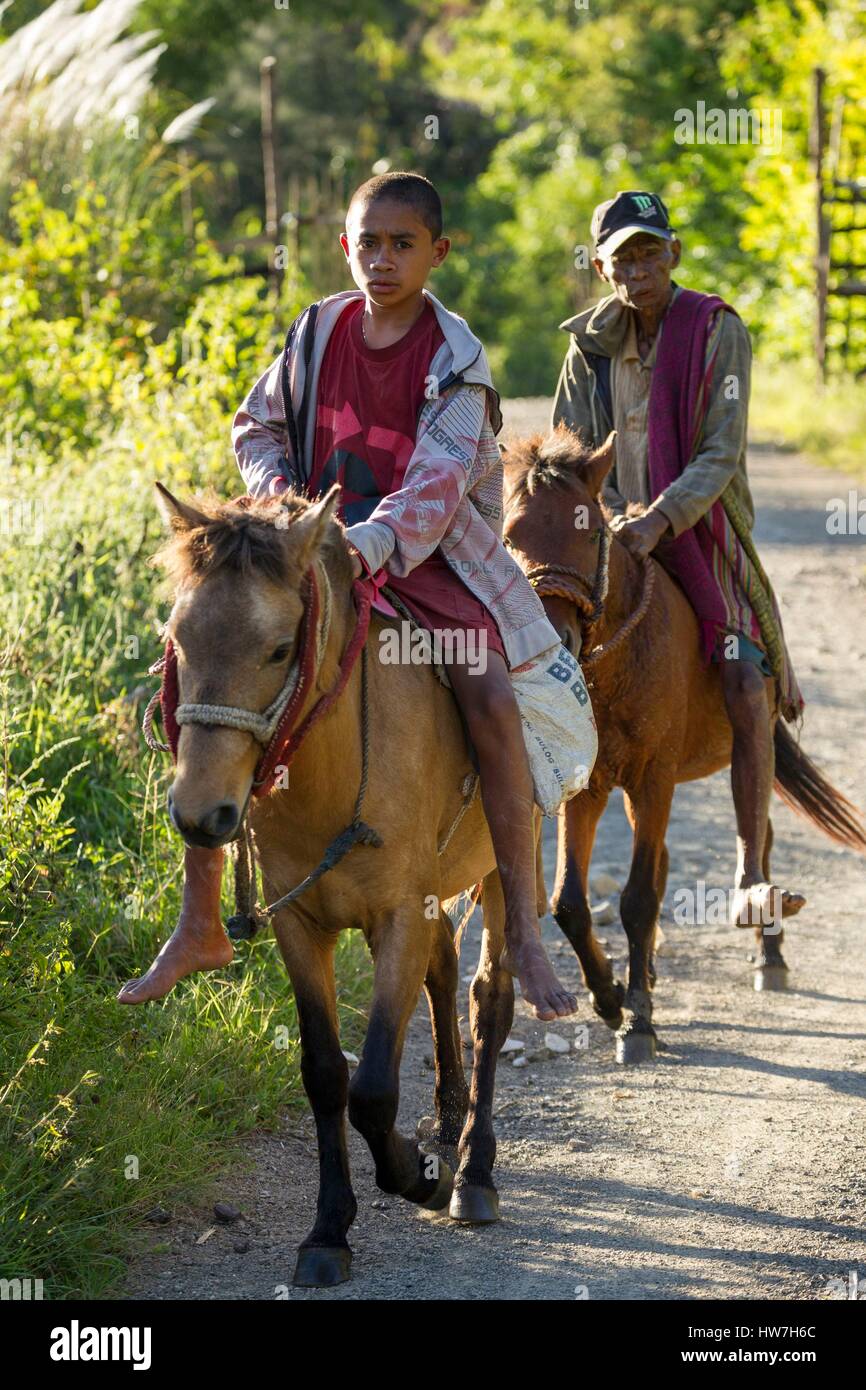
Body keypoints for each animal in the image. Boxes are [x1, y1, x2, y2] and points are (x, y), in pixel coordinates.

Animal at [151, 481, 542, 1286]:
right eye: (180, 639)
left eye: (278, 648)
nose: (201, 814)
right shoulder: (301, 926)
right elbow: (327, 1075)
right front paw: (329, 1229)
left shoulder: (398, 915)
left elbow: (372, 1090)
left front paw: (418, 1173)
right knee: (445, 969)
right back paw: (448, 1121)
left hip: (503, 866)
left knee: (490, 999)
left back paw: (472, 1172)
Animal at [502, 428, 866, 1063]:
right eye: (508, 537)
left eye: (590, 533)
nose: (555, 640)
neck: (620, 658)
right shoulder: (592, 788)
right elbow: (569, 902)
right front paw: (610, 997)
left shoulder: (654, 778)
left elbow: (639, 898)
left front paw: (638, 1022)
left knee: (759, 837)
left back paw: (767, 951)